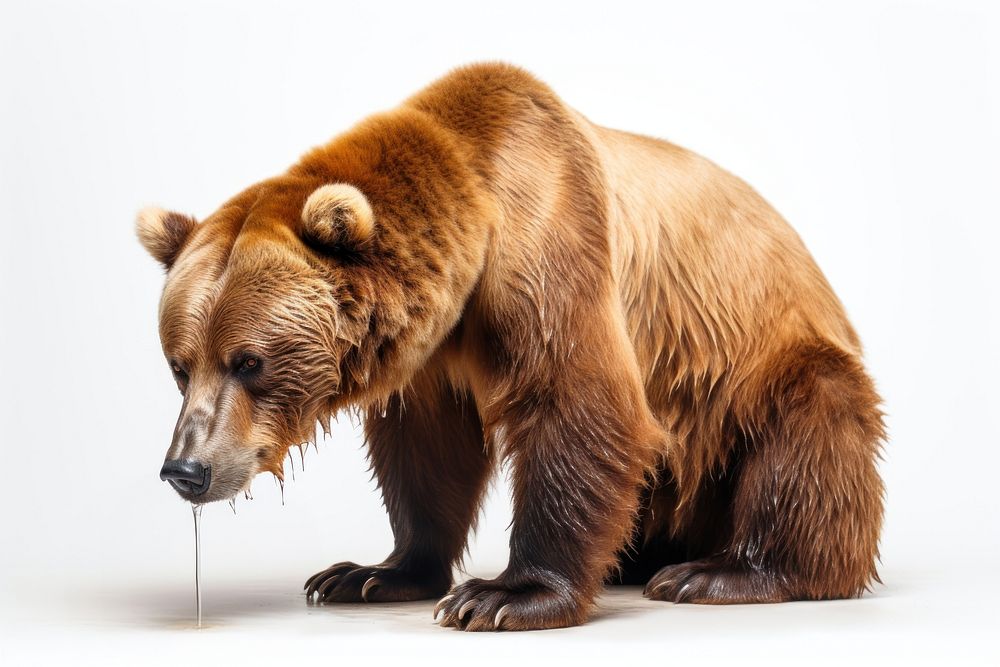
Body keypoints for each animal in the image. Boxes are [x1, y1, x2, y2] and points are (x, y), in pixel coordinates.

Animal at [137, 62, 885, 631]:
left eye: (248, 361)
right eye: (179, 366)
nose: (186, 470)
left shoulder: (552, 244)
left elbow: (579, 405)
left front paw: (501, 595)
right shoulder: (432, 356)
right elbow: (427, 452)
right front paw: (370, 572)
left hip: (759, 361)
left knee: (807, 435)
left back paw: (722, 570)